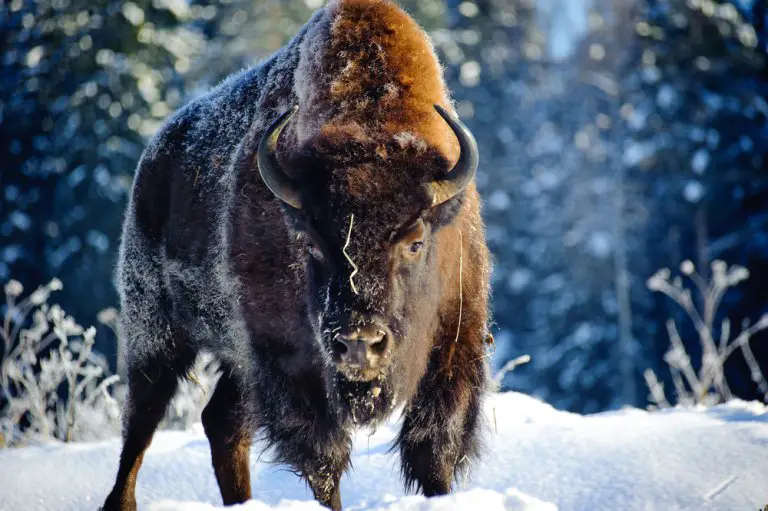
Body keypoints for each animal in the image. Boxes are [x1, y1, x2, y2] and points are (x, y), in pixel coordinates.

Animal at [102, 0, 492, 509]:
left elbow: (433, 452)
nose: (359, 343)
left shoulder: (455, 345)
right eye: (310, 243)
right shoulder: (289, 364)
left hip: (233, 359)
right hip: (156, 333)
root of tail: (153, 158)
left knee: (222, 423)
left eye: (416, 241)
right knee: (142, 422)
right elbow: (324, 461)